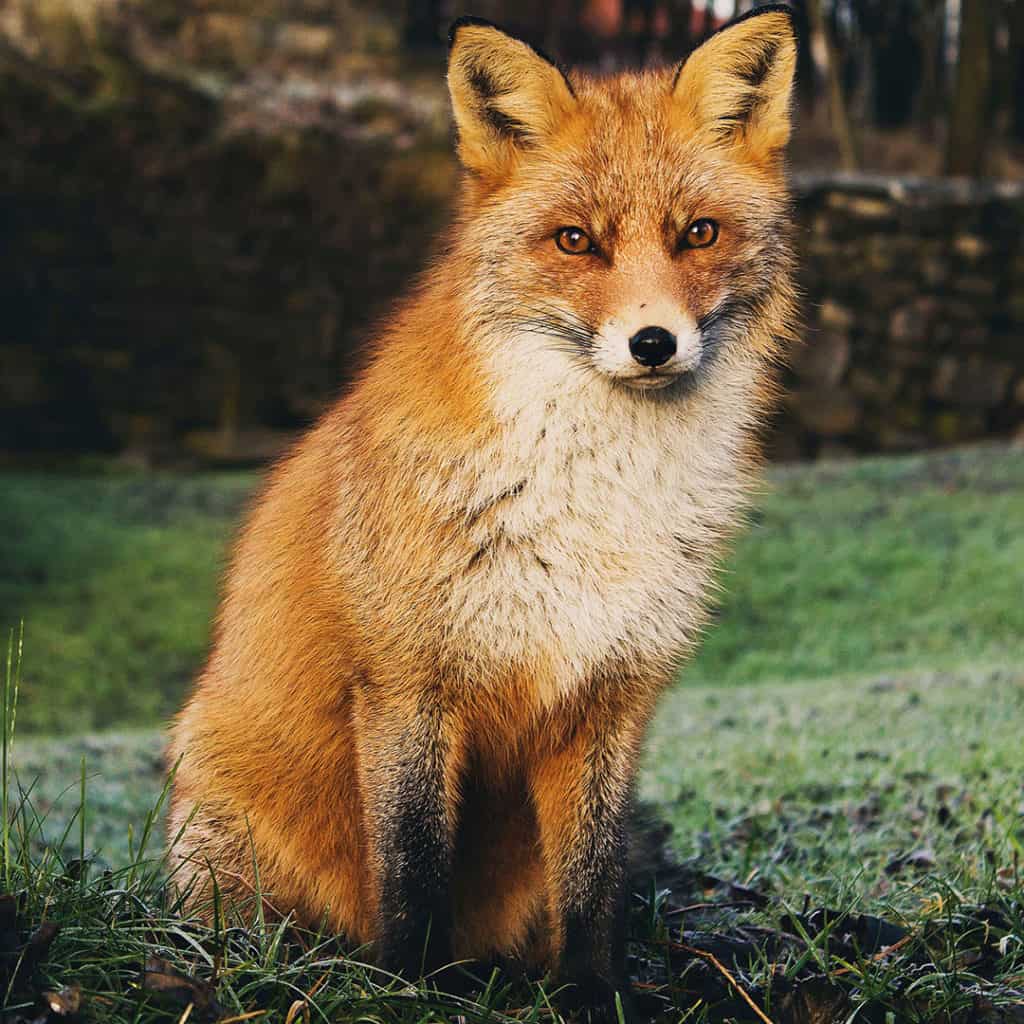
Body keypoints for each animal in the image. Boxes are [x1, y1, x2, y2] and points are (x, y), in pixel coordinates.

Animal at [167, 5, 799, 1016]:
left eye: (698, 233)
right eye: (576, 241)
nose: (653, 343)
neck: (591, 503)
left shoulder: (608, 698)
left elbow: (593, 883)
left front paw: (593, 994)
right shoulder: (408, 683)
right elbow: (414, 867)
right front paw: (413, 987)